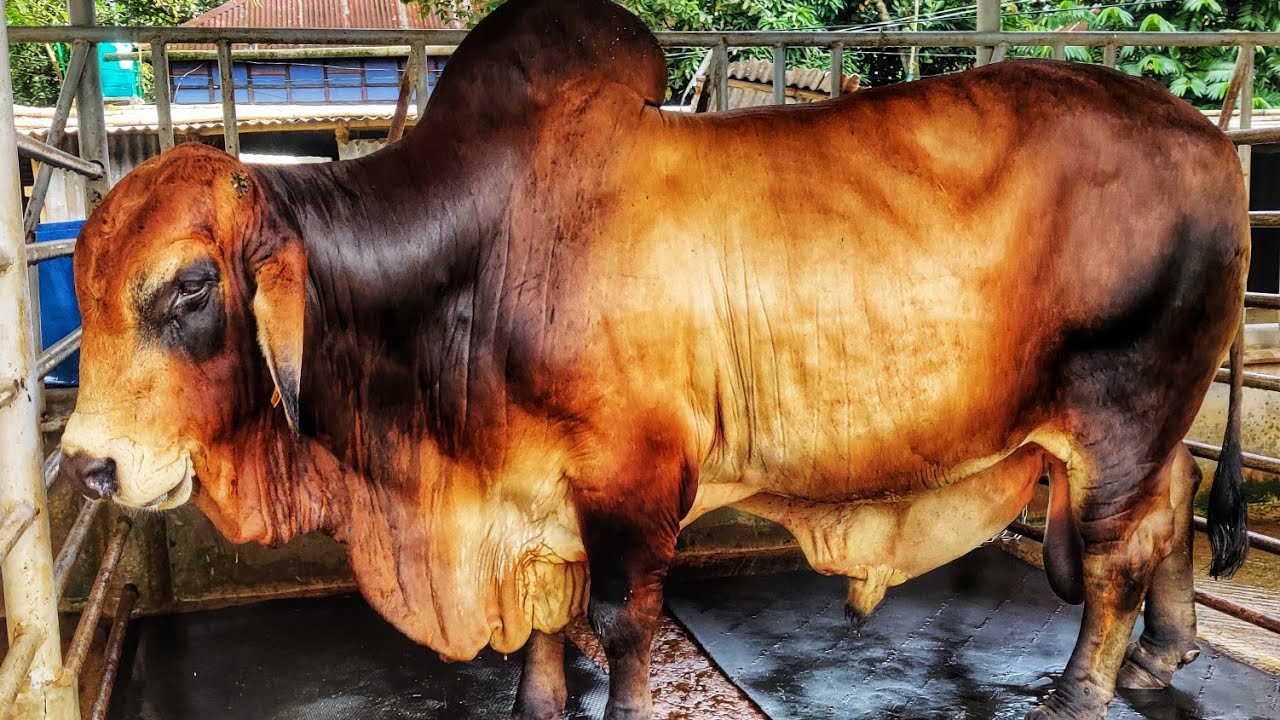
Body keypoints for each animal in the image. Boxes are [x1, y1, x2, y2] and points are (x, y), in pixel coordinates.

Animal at [58, 0, 1250, 718]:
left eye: (189, 287)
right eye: (82, 275)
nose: (86, 467)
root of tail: (1210, 141)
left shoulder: (631, 481)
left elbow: (624, 623)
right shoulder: (531, 497)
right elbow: (546, 621)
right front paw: (539, 700)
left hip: (1122, 411)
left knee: (1117, 554)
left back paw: (1083, 688)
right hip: (1149, 423)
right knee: (1178, 507)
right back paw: (1165, 650)